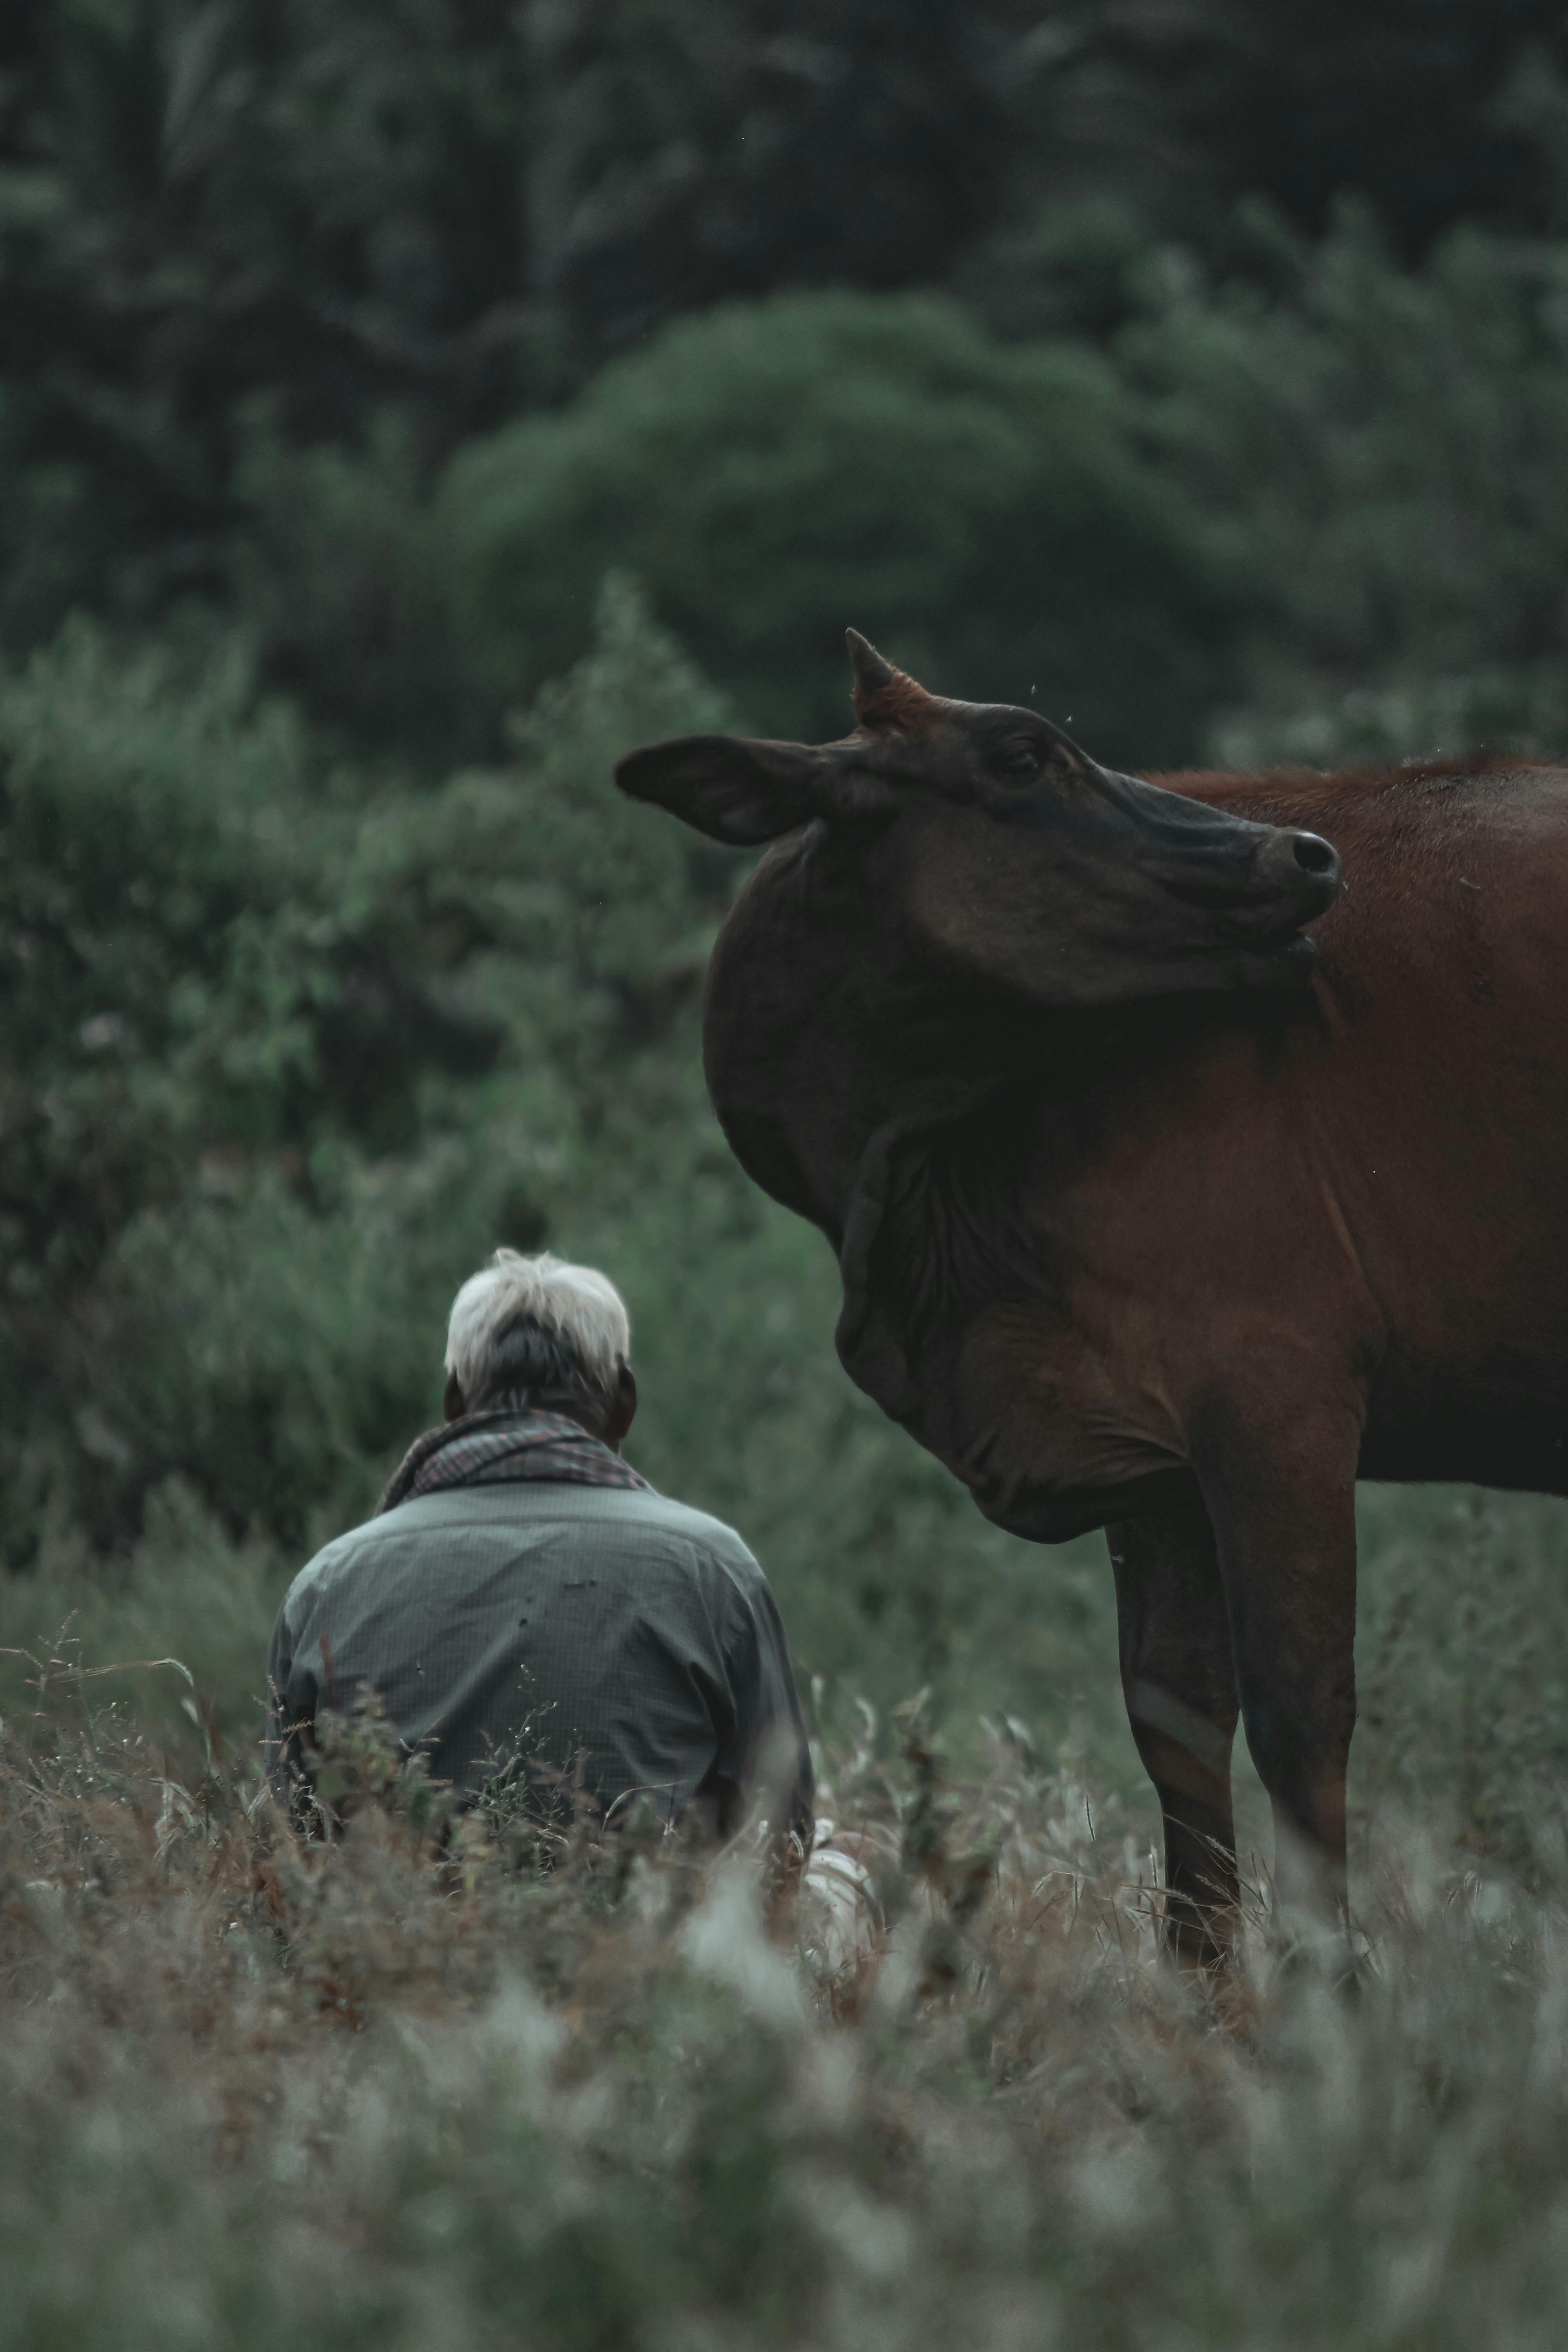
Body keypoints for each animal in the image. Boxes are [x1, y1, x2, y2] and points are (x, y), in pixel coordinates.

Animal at [615, 631, 1568, 1969]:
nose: (1303, 855)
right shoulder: (1144, 1430)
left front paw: (1328, 1994)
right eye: (1022, 756)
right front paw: (1208, 1985)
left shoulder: (1275, 1388)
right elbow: (1175, 1717)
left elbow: (1300, 1711)